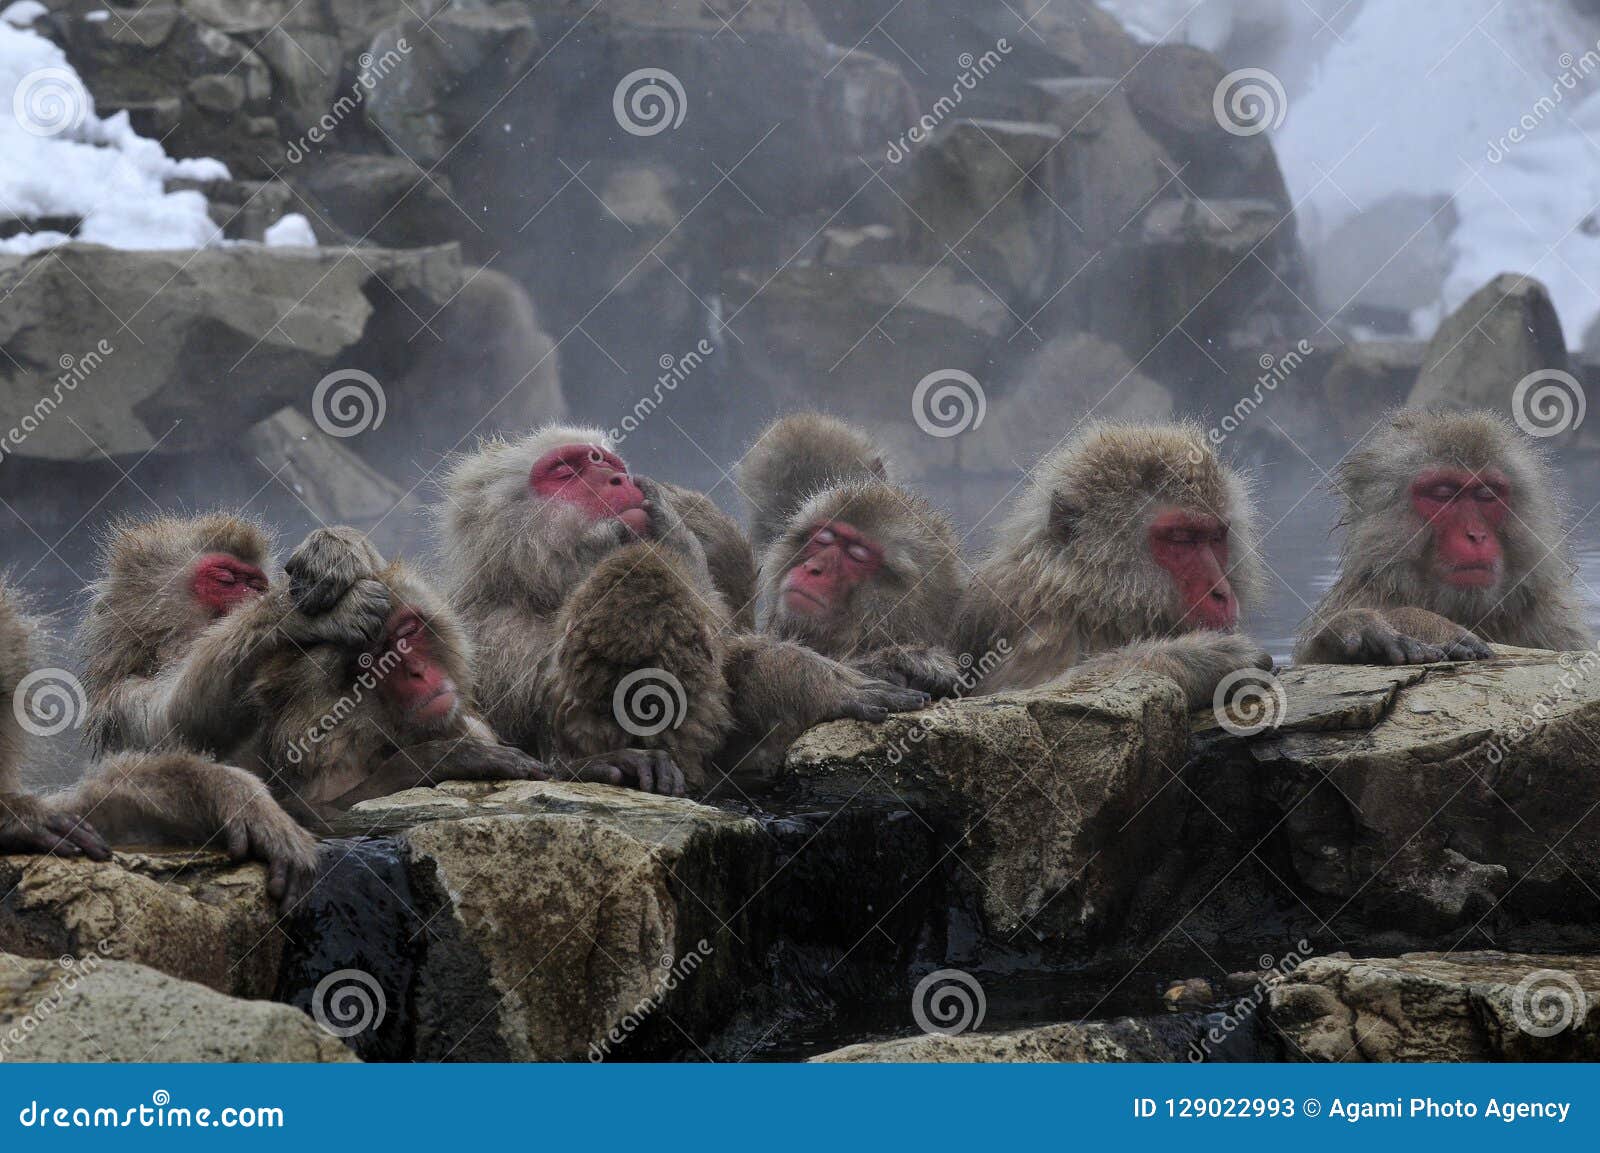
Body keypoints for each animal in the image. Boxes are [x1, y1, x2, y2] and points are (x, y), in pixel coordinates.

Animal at [436, 426, 927, 791]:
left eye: (603, 463)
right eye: (566, 471)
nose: (618, 481)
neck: (543, 590)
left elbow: (731, 682)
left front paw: (822, 682)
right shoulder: (495, 634)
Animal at [955, 421, 1273, 707]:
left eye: (1214, 537)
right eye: (1181, 539)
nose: (1222, 593)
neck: (1087, 600)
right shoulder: (1050, 632)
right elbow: (1025, 690)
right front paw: (1206, 659)